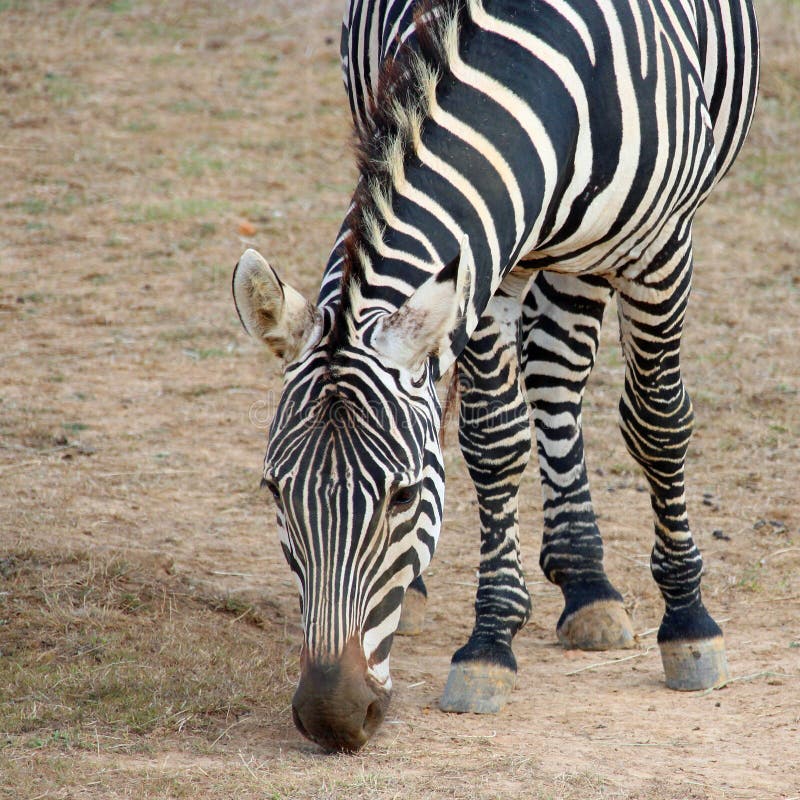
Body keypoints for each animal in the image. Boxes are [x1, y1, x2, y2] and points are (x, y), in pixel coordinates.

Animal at [232, 0, 759, 752]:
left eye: (403, 496)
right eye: (275, 490)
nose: (332, 718)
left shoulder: (661, 248)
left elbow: (657, 422)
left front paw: (689, 624)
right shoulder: (485, 267)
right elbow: (494, 443)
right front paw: (491, 641)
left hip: (588, 256)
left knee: (562, 371)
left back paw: (591, 587)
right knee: (549, 375)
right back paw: (560, 581)